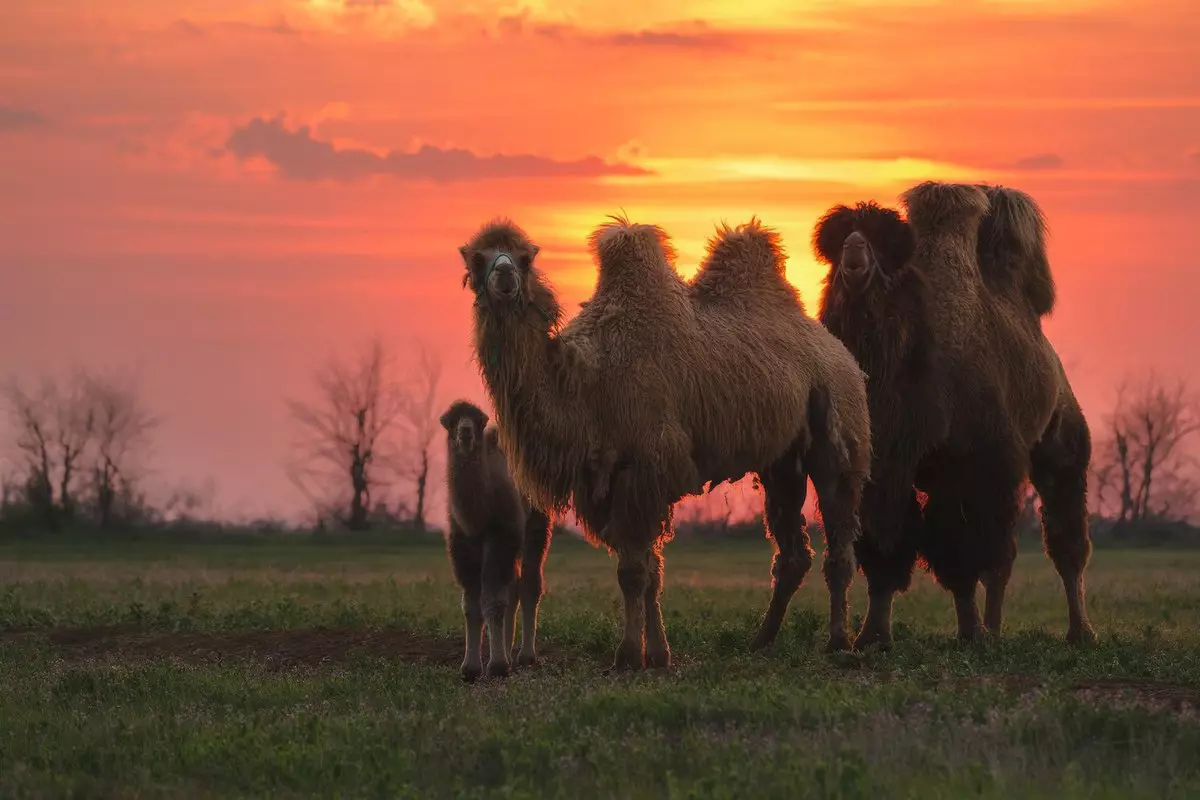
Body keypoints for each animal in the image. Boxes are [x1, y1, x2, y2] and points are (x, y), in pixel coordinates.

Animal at [441, 400, 552, 681]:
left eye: (479, 419)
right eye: (450, 421)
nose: (465, 431)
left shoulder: (501, 532)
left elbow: (492, 600)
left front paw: (498, 666)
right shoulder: (462, 544)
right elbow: (471, 604)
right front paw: (470, 668)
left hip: (537, 521)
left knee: (529, 583)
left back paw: (525, 656)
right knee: (512, 587)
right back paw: (510, 650)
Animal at [458, 214, 873, 671]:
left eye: (524, 257)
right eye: (477, 258)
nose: (505, 276)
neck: (588, 382)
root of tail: (842, 353)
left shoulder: (647, 467)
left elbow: (634, 573)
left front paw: (627, 656)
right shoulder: (608, 480)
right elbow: (650, 571)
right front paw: (657, 654)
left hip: (839, 428)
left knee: (839, 537)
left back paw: (839, 641)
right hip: (782, 460)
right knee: (793, 551)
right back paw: (762, 639)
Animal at [816, 179, 1099, 642]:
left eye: (883, 247)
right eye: (836, 244)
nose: (854, 253)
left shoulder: (967, 461)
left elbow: (960, 549)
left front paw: (970, 631)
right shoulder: (887, 465)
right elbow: (886, 542)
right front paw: (873, 636)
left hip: (1058, 438)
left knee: (1059, 534)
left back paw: (1076, 632)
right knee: (1008, 551)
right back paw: (997, 629)